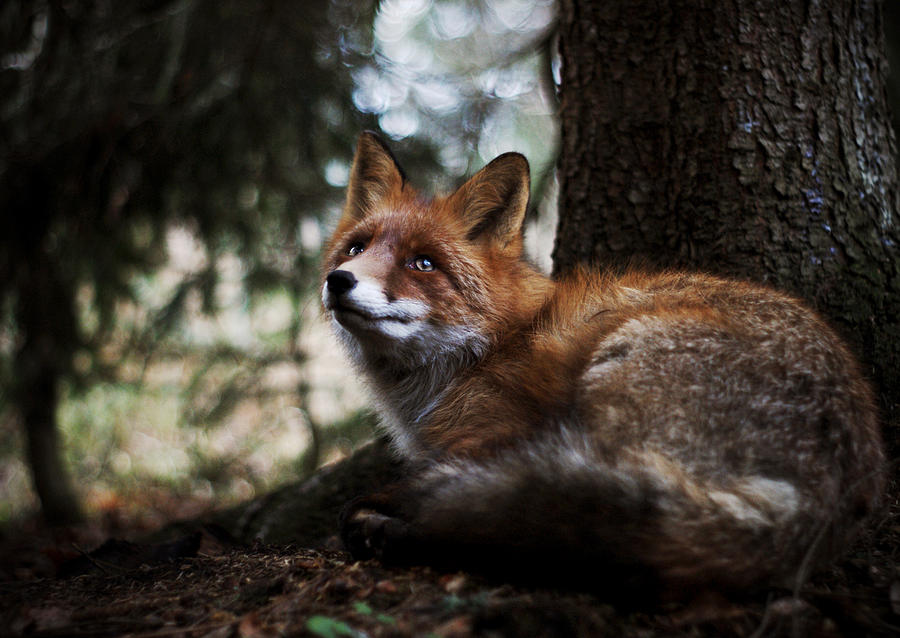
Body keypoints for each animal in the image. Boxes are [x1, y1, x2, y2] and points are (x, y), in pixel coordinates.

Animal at [320, 131, 885, 598]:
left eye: (423, 263)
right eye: (356, 248)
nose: (338, 281)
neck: (483, 350)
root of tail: (827, 496)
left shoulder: (495, 433)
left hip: (615, 373)